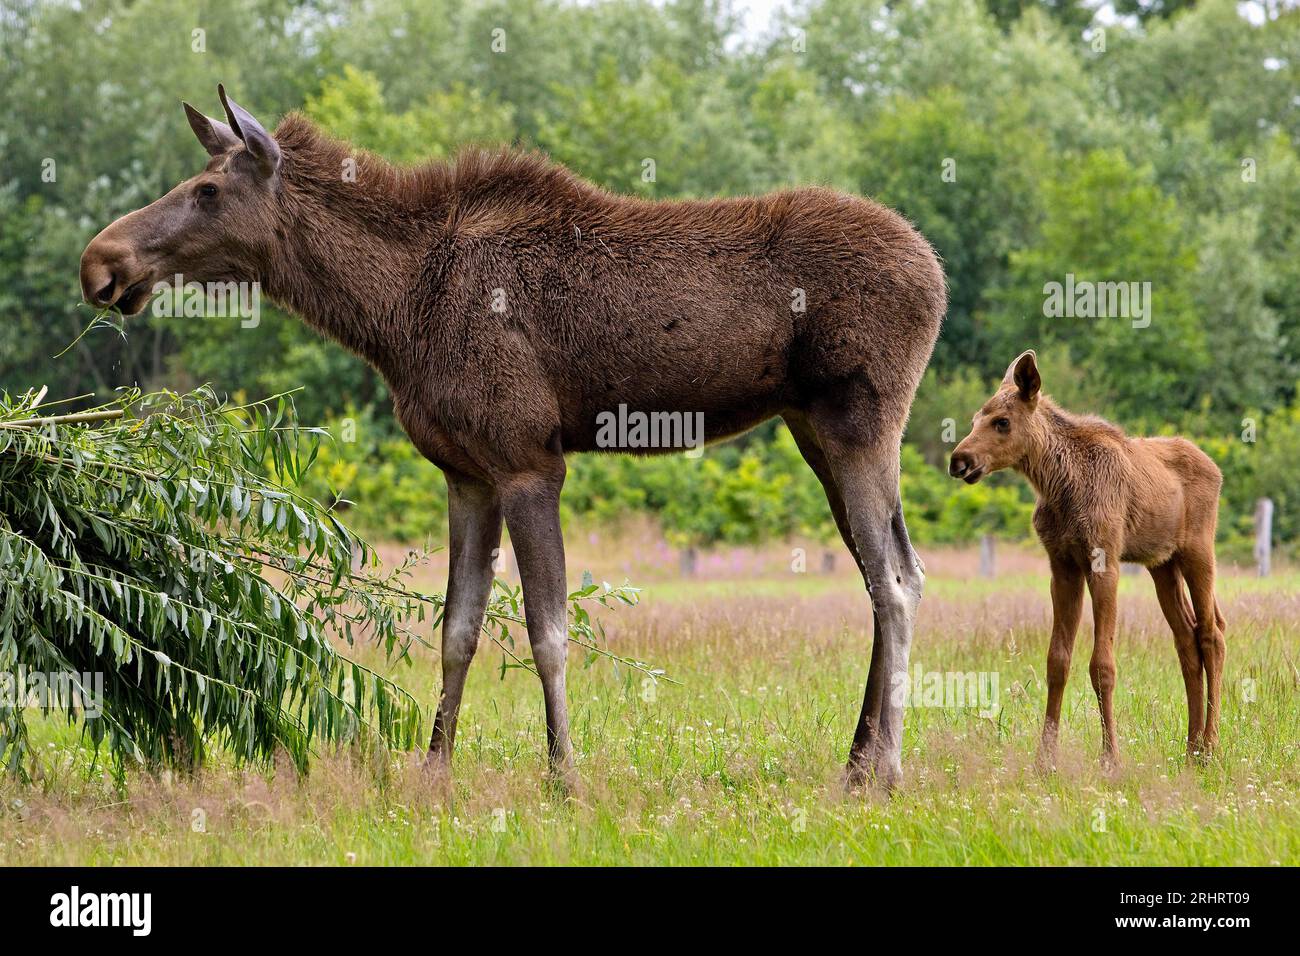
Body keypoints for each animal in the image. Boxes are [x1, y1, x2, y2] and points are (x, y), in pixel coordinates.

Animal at [79, 86, 947, 790]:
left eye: (207, 189)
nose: (99, 261)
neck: (390, 314)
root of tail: (936, 272)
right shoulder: (465, 473)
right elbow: (456, 628)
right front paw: (434, 770)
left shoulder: (530, 462)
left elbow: (547, 629)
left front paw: (564, 775)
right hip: (813, 430)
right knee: (885, 577)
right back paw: (854, 760)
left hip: (862, 420)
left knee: (898, 583)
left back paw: (887, 770)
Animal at [948, 351, 1226, 770]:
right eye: (973, 420)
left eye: (1002, 422)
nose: (959, 460)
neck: (1057, 483)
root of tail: (1217, 469)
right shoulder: (1062, 565)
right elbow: (1057, 661)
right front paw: (1044, 758)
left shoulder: (1104, 560)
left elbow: (1102, 665)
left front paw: (1110, 758)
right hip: (1162, 563)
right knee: (1187, 639)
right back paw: (1190, 747)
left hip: (1198, 550)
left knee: (1213, 634)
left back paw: (1209, 746)